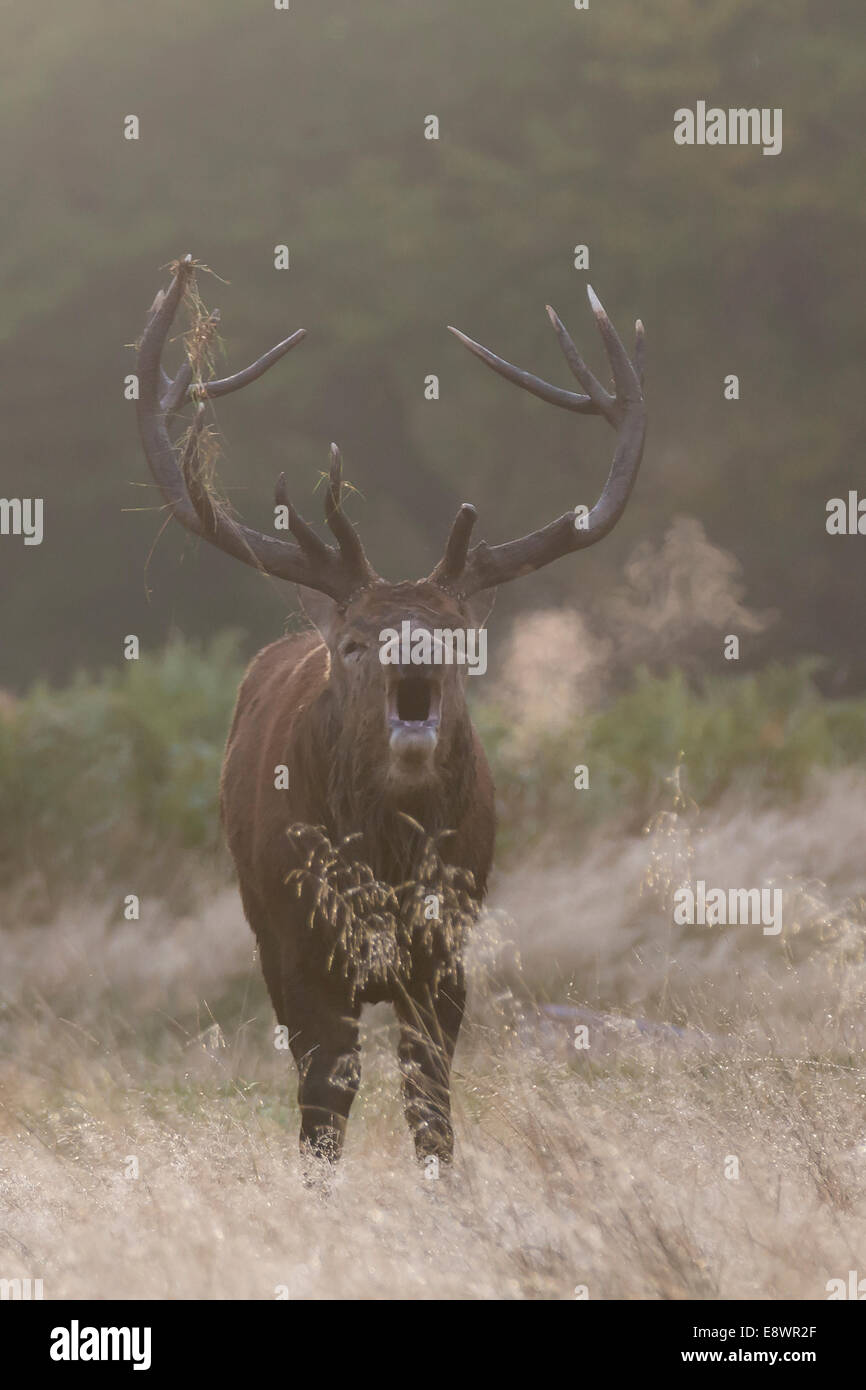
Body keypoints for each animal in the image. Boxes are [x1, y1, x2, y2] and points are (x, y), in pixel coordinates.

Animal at [135, 255, 646, 1171]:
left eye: (456, 632)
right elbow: (323, 1106)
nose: (413, 655)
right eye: (355, 641)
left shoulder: (448, 948)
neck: (383, 861)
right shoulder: (298, 949)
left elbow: (430, 1104)